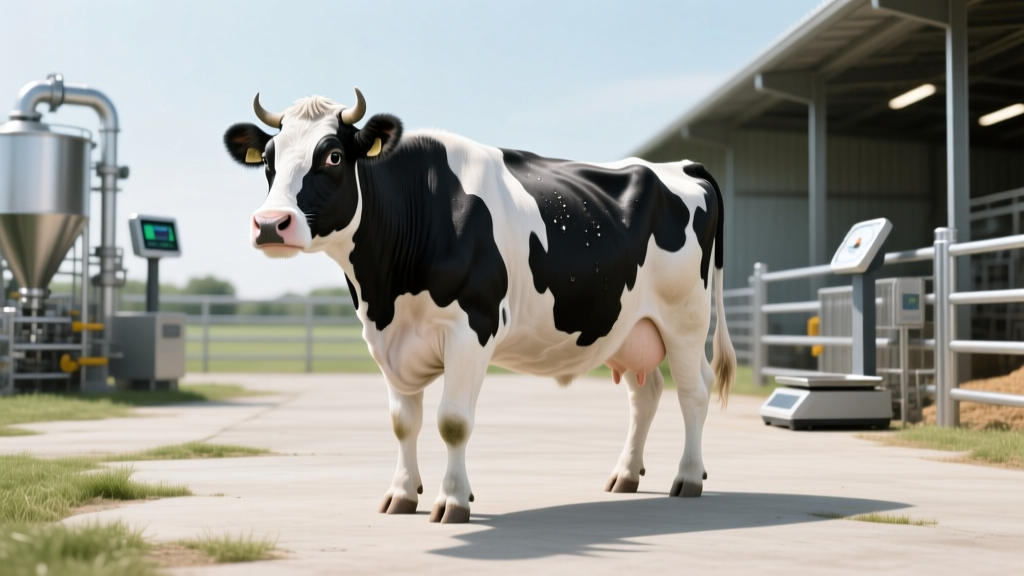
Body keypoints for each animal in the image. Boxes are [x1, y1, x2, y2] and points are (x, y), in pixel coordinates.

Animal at [223, 88, 736, 524]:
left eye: (332, 155)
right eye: (268, 159)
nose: (270, 223)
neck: (386, 289)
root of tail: (680, 165)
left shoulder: (471, 329)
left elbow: (452, 421)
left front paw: (453, 501)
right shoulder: (386, 338)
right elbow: (402, 423)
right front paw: (402, 495)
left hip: (685, 319)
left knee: (693, 391)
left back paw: (688, 477)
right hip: (628, 324)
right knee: (645, 395)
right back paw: (625, 476)